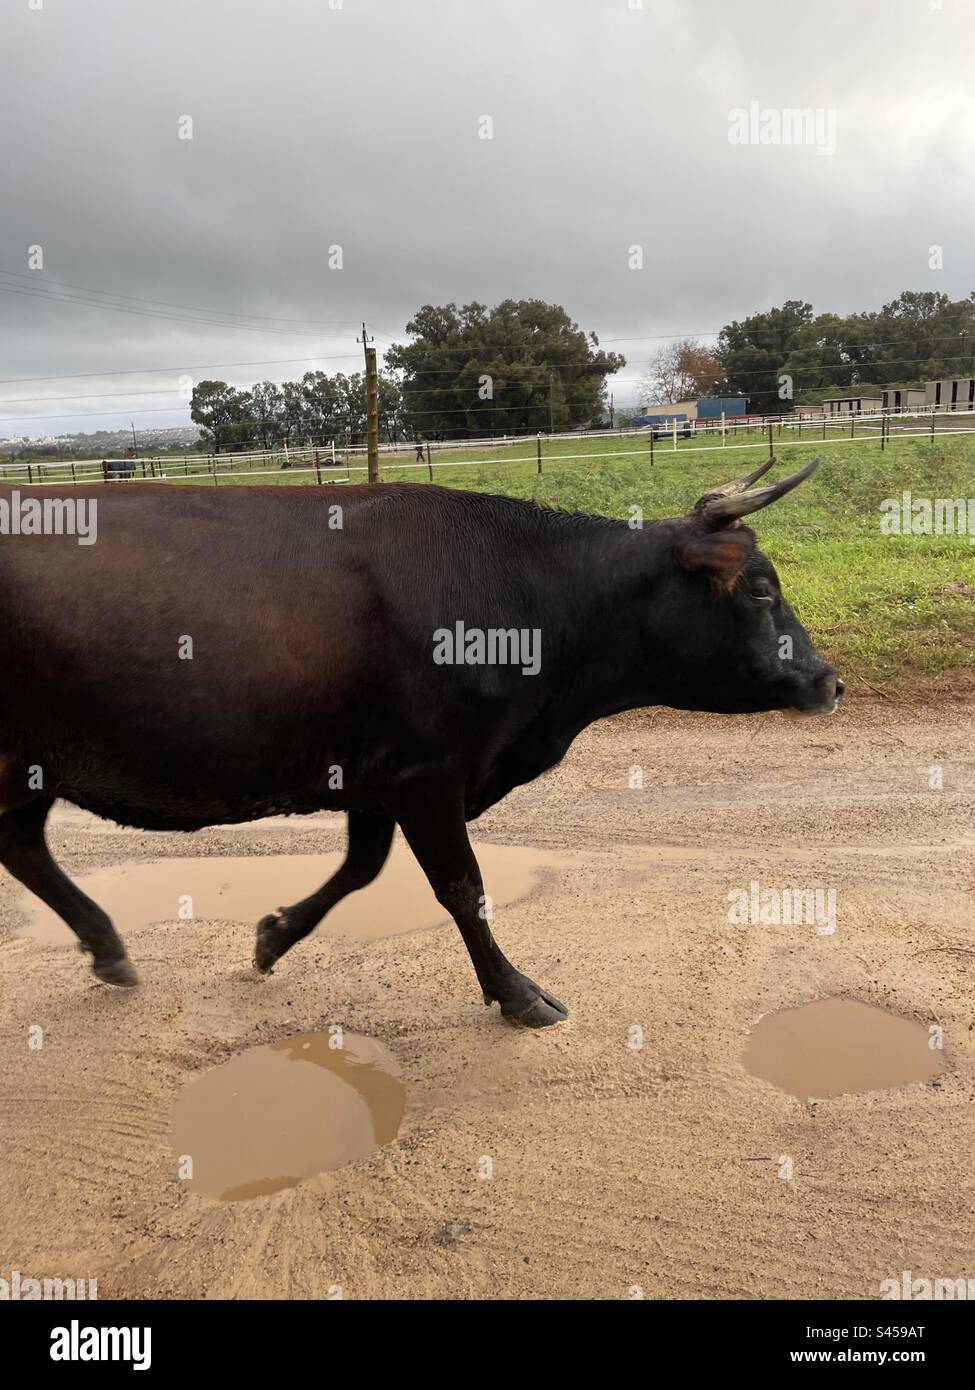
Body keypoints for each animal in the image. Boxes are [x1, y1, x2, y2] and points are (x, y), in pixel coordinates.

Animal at [0, 456, 841, 1027]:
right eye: (760, 587)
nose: (829, 682)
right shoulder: (426, 771)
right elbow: (461, 888)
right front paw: (515, 993)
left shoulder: (375, 774)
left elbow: (361, 869)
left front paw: (273, 937)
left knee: (24, 847)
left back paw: (108, 947)